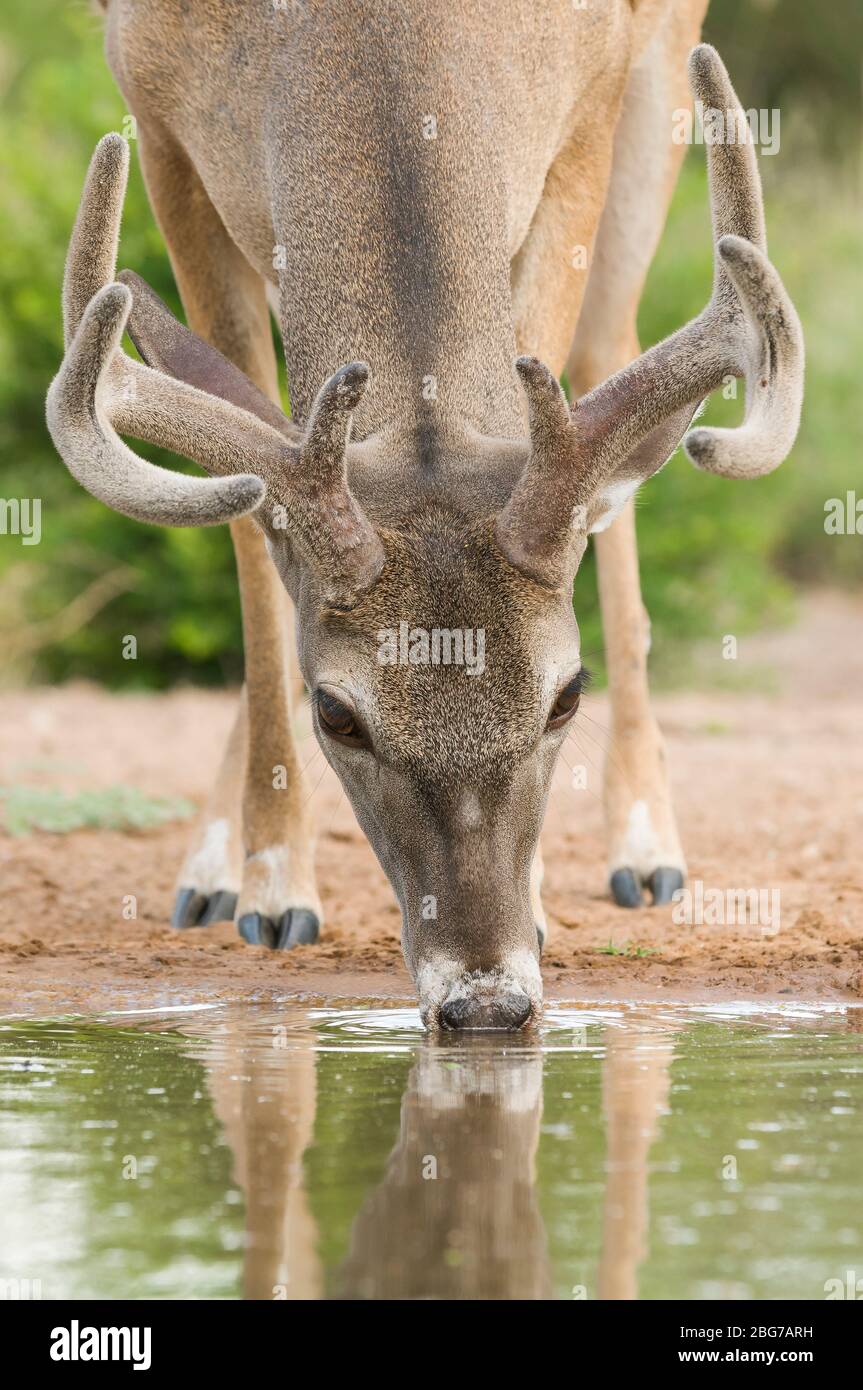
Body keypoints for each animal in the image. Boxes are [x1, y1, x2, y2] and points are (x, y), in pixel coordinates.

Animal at [47, 0, 803, 1030]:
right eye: (337, 715)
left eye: (568, 692)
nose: (484, 1000)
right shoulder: (158, 125)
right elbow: (249, 514)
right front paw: (274, 884)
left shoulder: (588, 111)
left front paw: (541, 909)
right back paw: (213, 866)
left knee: (611, 346)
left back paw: (645, 849)